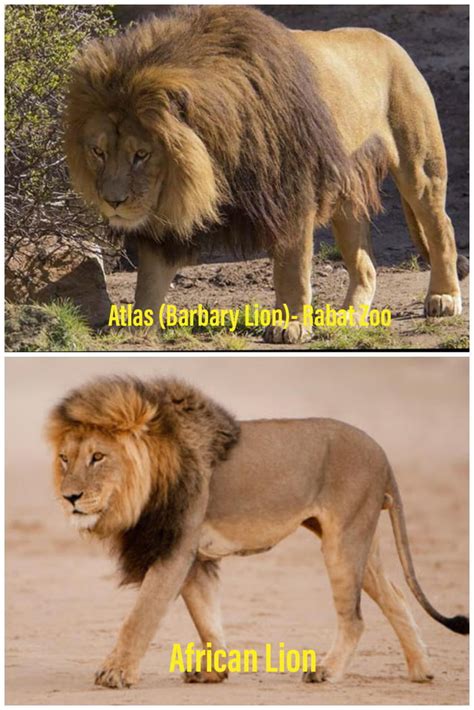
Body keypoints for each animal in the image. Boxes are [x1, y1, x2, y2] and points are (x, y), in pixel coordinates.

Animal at [47, 375, 468, 689]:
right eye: (65, 459)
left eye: (98, 457)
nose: (69, 497)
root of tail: (382, 452)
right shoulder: (193, 556)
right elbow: (206, 617)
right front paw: (213, 671)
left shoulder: (175, 549)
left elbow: (141, 615)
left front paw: (115, 673)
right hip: (360, 539)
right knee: (395, 596)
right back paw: (422, 670)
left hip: (344, 540)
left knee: (355, 618)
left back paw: (328, 671)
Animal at [64, 6, 467, 344]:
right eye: (98, 152)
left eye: (141, 155)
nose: (113, 202)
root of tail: (387, 40)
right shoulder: (167, 217)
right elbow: (148, 278)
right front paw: (134, 327)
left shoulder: (290, 194)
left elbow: (291, 269)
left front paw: (290, 325)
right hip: (346, 189)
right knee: (366, 264)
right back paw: (348, 317)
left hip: (419, 166)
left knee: (441, 227)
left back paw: (443, 297)